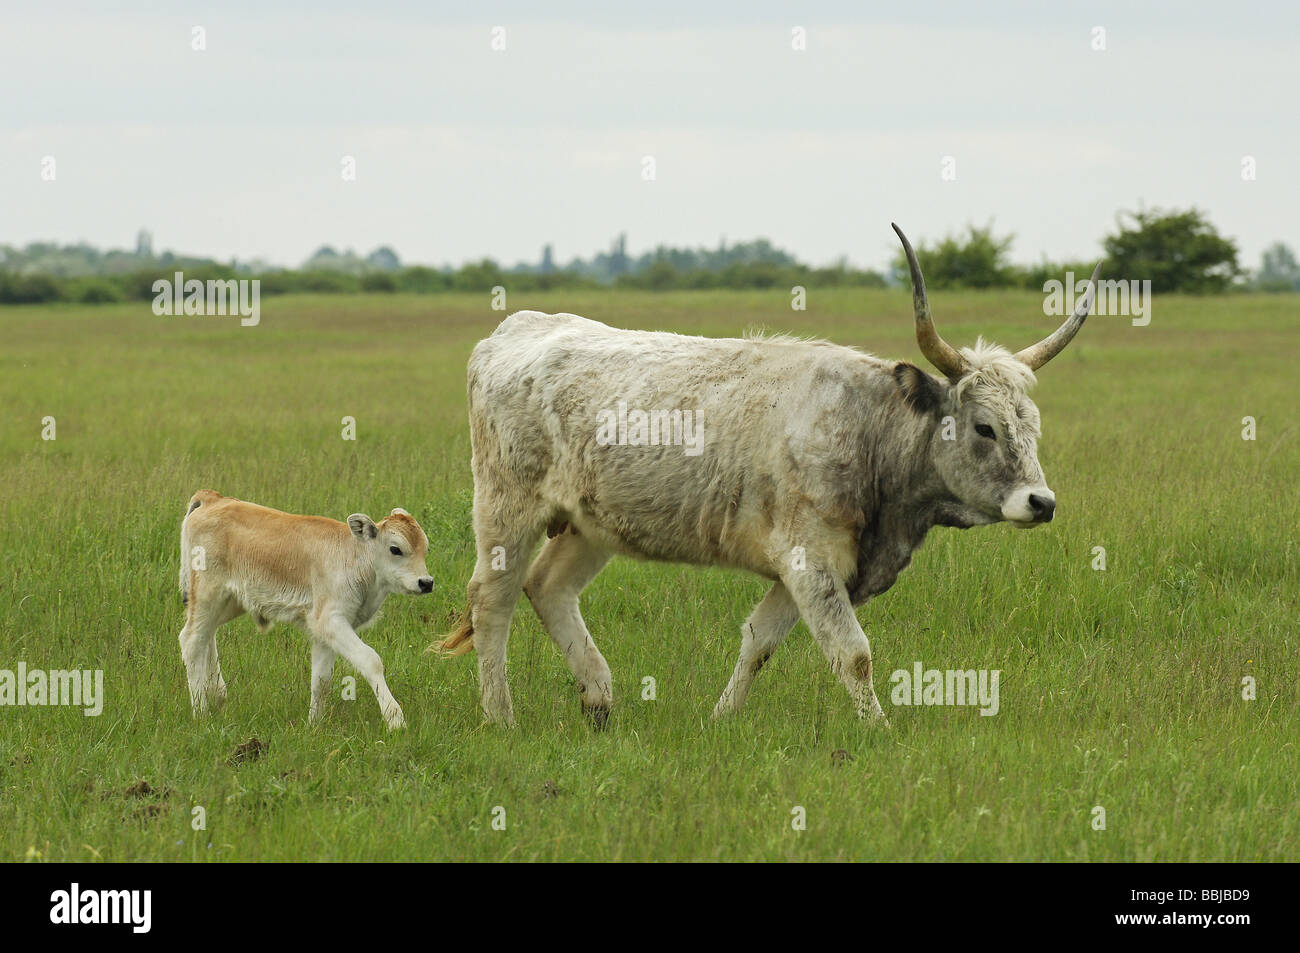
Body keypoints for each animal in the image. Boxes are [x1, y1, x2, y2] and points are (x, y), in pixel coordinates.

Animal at [178, 491, 434, 729]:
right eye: (395, 549)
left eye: (425, 549)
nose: (426, 582)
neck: (356, 561)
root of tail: (214, 498)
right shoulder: (331, 620)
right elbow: (370, 660)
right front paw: (395, 719)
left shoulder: (324, 632)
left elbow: (321, 680)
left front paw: (314, 725)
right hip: (208, 593)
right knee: (192, 640)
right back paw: (201, 711)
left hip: (230, 601)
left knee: (207, 634)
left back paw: (217, 693)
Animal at [437, 224, 1100, 728]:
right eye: (985, 427)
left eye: (1033, 426)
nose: (1041, 502)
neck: (868, 430)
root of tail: (518, 327)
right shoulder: (811, 560)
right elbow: (852, 653)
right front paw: (881, 732)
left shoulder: (802, 568)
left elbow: (758, 641)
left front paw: (721, 719)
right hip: (505, 508)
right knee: (492, 599)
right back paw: (501, 716)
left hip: (588, 524)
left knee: (549, 589)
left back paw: (599, 700)